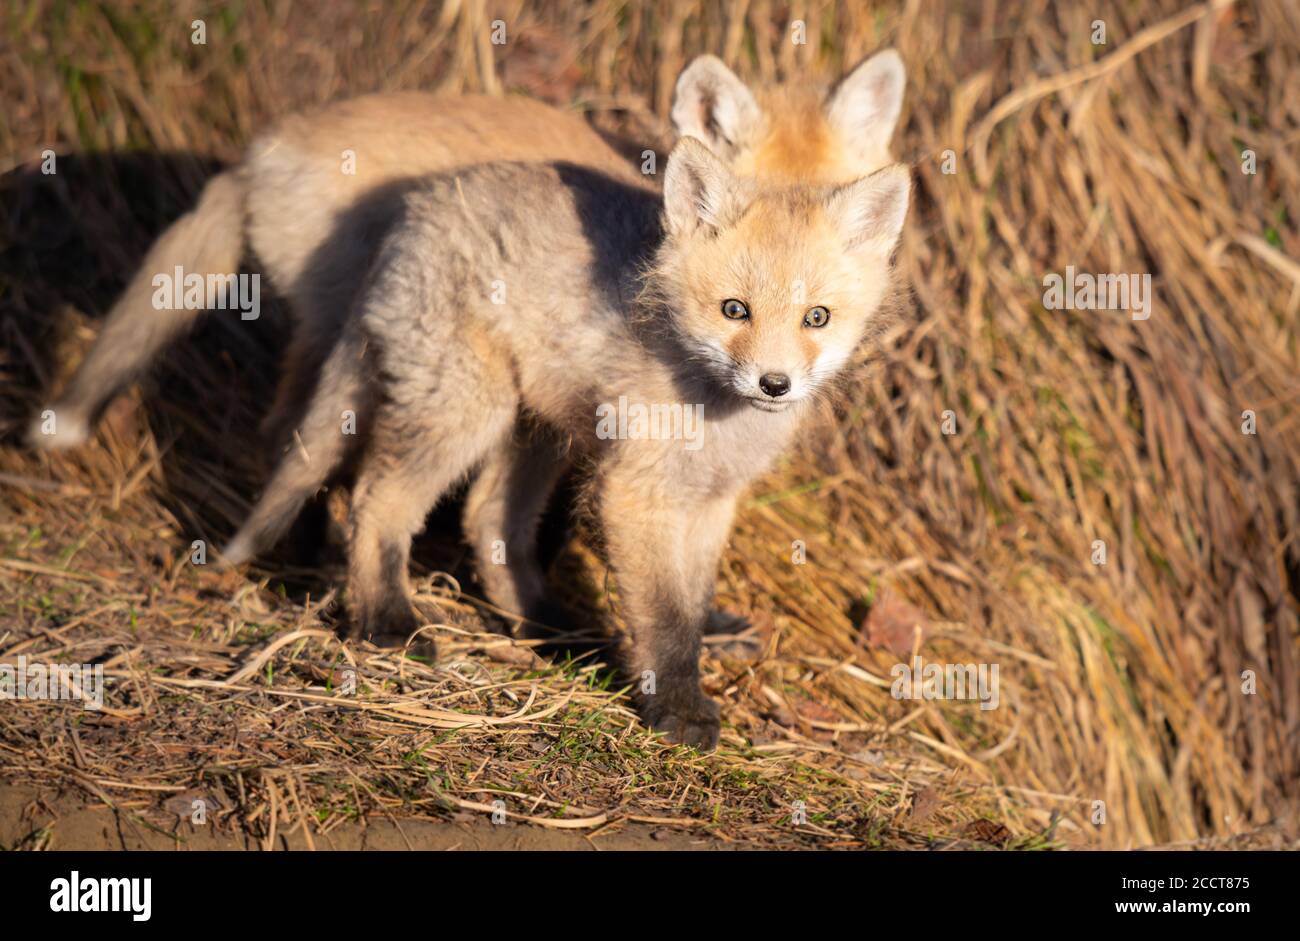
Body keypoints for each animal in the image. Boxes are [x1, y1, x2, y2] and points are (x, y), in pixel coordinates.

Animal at [220, 138, 911, 748]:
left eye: (816, 318)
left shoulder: (712, 499)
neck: (718, 419)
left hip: (533, 429)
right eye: (734, 310)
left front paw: (694, 653)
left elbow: (693, 600)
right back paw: (388, 624)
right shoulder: (636, 491)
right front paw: (679, 709)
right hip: (466, 412)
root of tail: (416, 210)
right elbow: (665, 617)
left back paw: (542, 624)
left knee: (487, 519)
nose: (774, 384)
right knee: (375, 503)